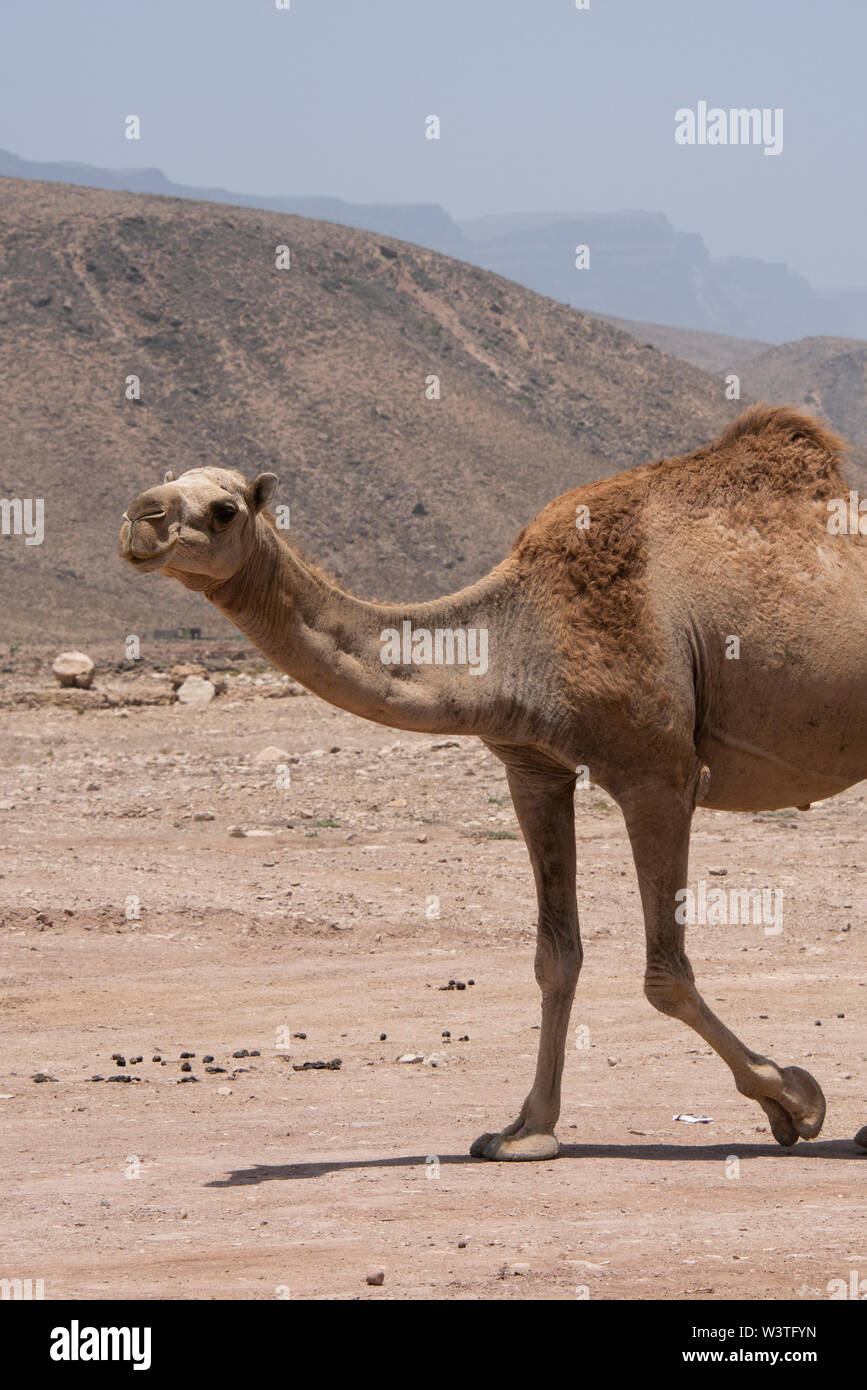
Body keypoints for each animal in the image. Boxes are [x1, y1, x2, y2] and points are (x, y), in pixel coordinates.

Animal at [120, 404, 867, 1160]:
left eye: (224, 510)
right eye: (164, 483)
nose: (139, 516)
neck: (518, 635)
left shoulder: (657, 772)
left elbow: (665, 975)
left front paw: (794, 1100)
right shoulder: (532, 767)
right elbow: (555, 956)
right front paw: (524, 1131)